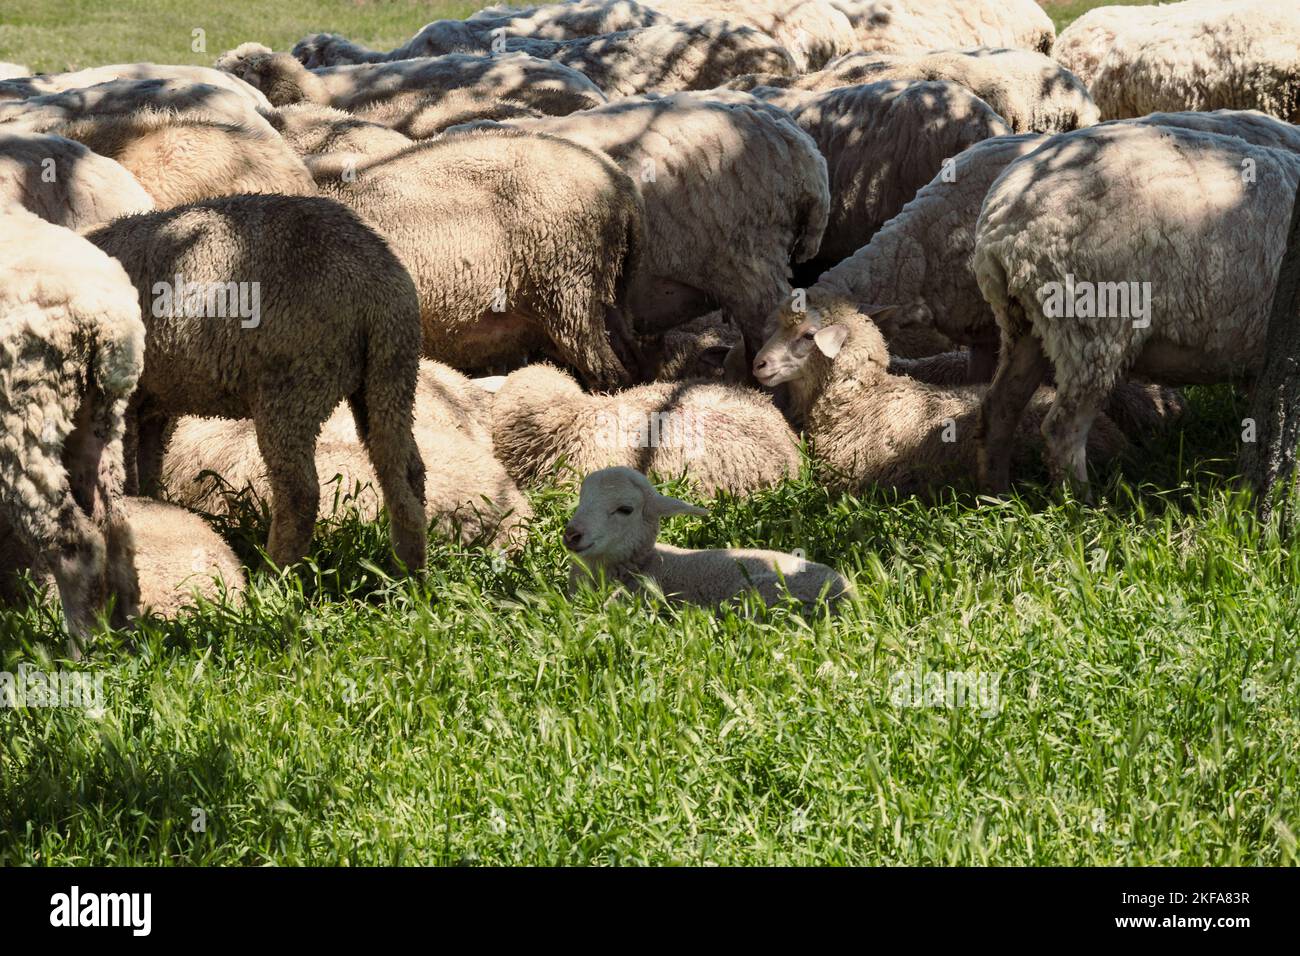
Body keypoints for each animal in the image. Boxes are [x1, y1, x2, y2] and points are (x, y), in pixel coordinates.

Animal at [0, 207, 145, 654]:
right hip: (98, 418)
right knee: (115, 529)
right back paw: (128, 634)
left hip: (22, 416)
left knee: (75, 543)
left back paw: (84, 649)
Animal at [84, 194, 429, 570]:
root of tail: (376, 282)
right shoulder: (155, 400)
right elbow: (147, 465)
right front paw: (155, 507)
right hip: (389, 373)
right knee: (405, 470)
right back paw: (407, 571)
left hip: (294, 385)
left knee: (300, 493)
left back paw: (273, 574)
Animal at [971, 123, 1300, 493]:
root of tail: (1003, 219)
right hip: (1092, 321)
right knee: (1062, 429)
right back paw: (1080, 502)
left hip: (1024, 322)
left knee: (999, 407)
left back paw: (996, 493)